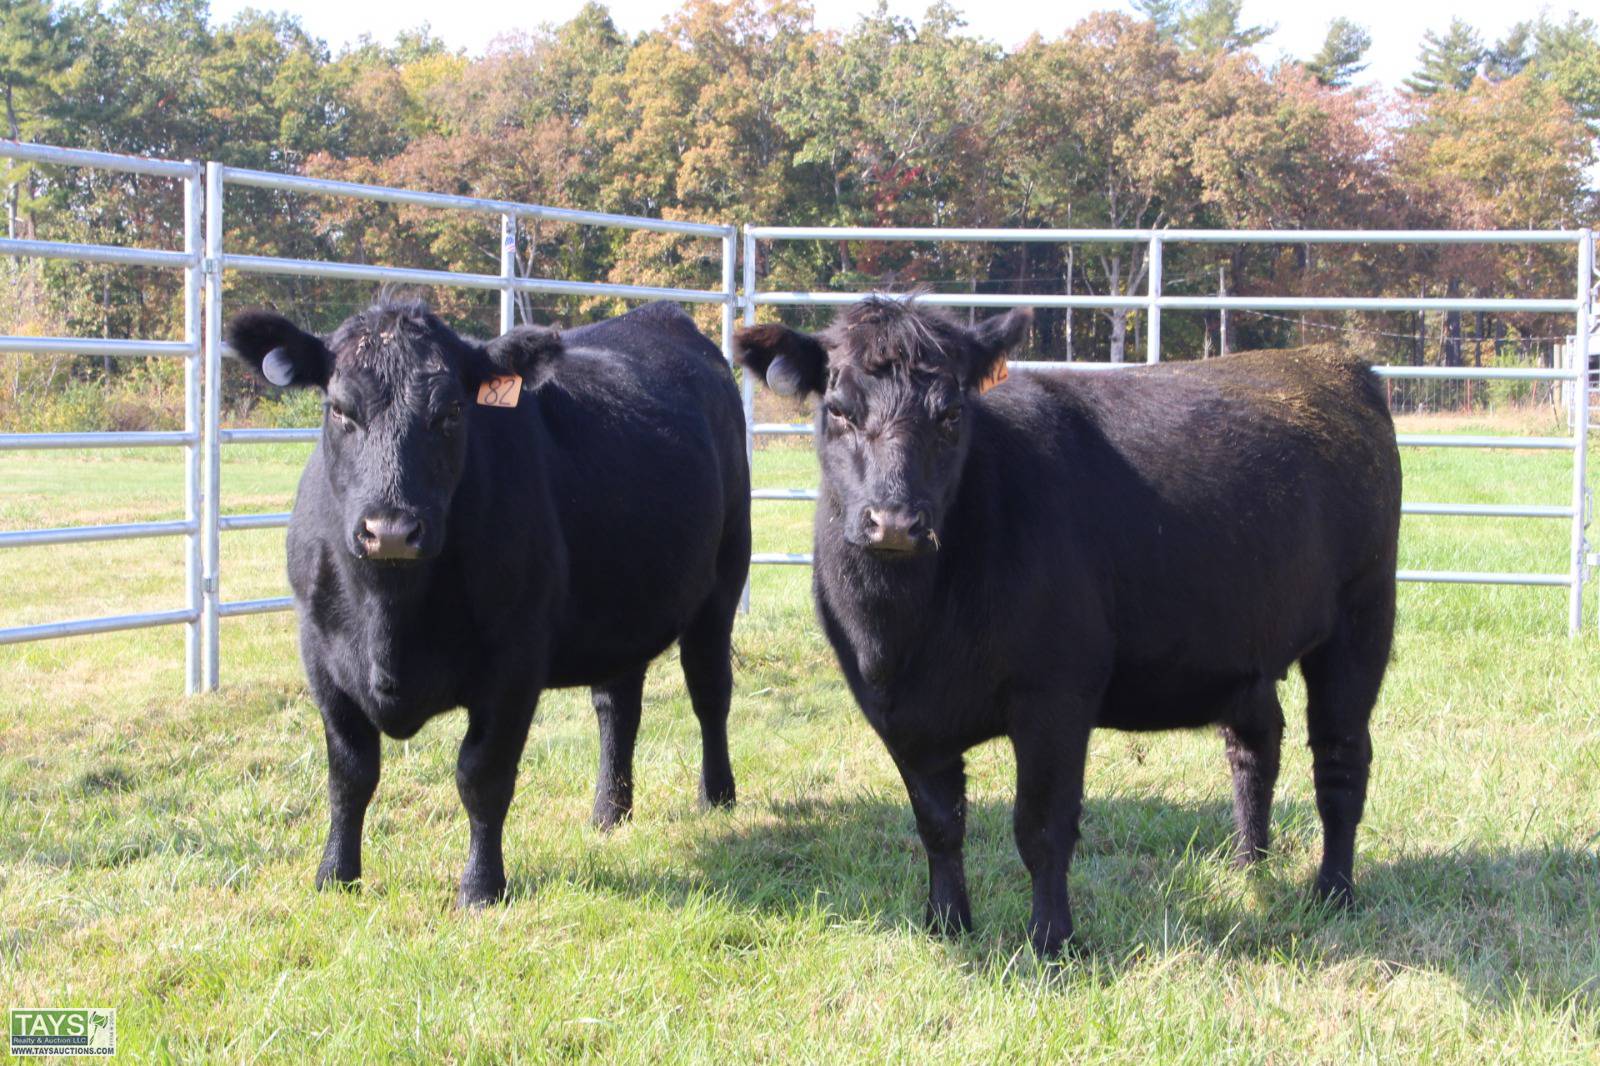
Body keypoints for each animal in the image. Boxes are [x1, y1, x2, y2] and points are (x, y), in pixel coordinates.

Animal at [226, 299, 750, 907]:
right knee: (618, 706)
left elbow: (481, 776)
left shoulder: (514, 662)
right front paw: (336, 875)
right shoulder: (322, 658)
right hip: (623, 605)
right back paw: (609, 814)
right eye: (338, 409)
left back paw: (717, 795)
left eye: (453, 411)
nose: (391, 530)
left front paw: (481, 888)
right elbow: (349, 775)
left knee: (710, 692)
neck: (389, 619)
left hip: (723, 583)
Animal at [735, 296, 1400, 956]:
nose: (895, 521)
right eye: (838, 410)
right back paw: (1247, 867)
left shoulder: (1055, 695)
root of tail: (1331, 362)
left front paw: (1052, 940)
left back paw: (1333, 892)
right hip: (1246, 647)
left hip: (1362, 618)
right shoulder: (899, 714)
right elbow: (939, 825)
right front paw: (946, 925)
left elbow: (1042, 827)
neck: (908, 631)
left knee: (1341, 758)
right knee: (1255, 748)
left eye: (951, 413)